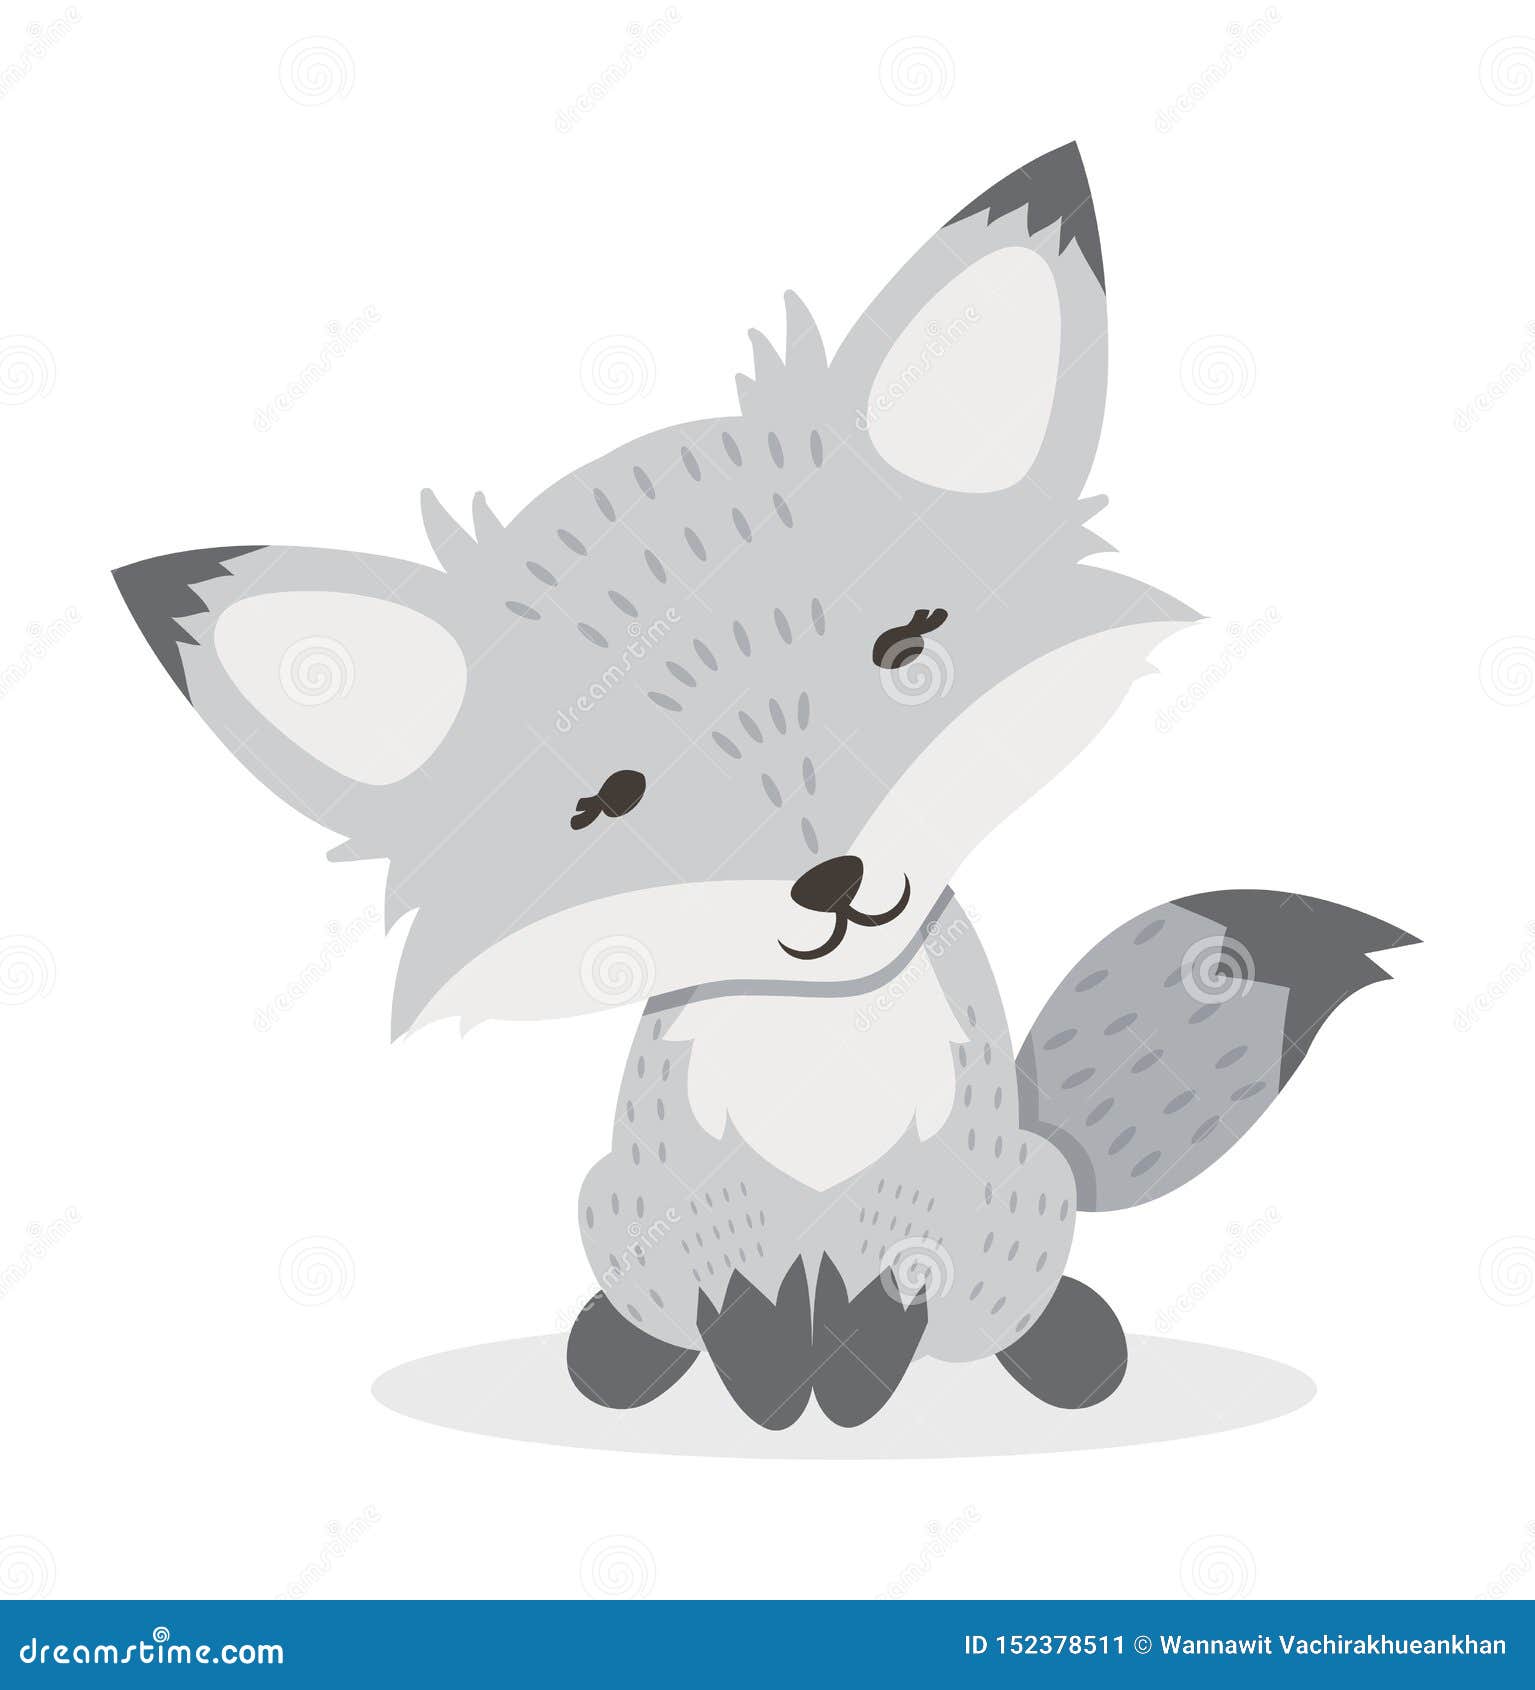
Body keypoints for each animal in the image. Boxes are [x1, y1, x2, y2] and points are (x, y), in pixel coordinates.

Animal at [114, 142, 1415, 1430]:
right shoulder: (695, 1191)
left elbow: (888, 1289)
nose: (830, 881)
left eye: (905, 649)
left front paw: (849, 1377)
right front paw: (775, 1376)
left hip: (1021, 1193)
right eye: (610, 799)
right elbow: (744, 1301)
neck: (824, 1043)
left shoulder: (938, 1172)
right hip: (609, 1203)